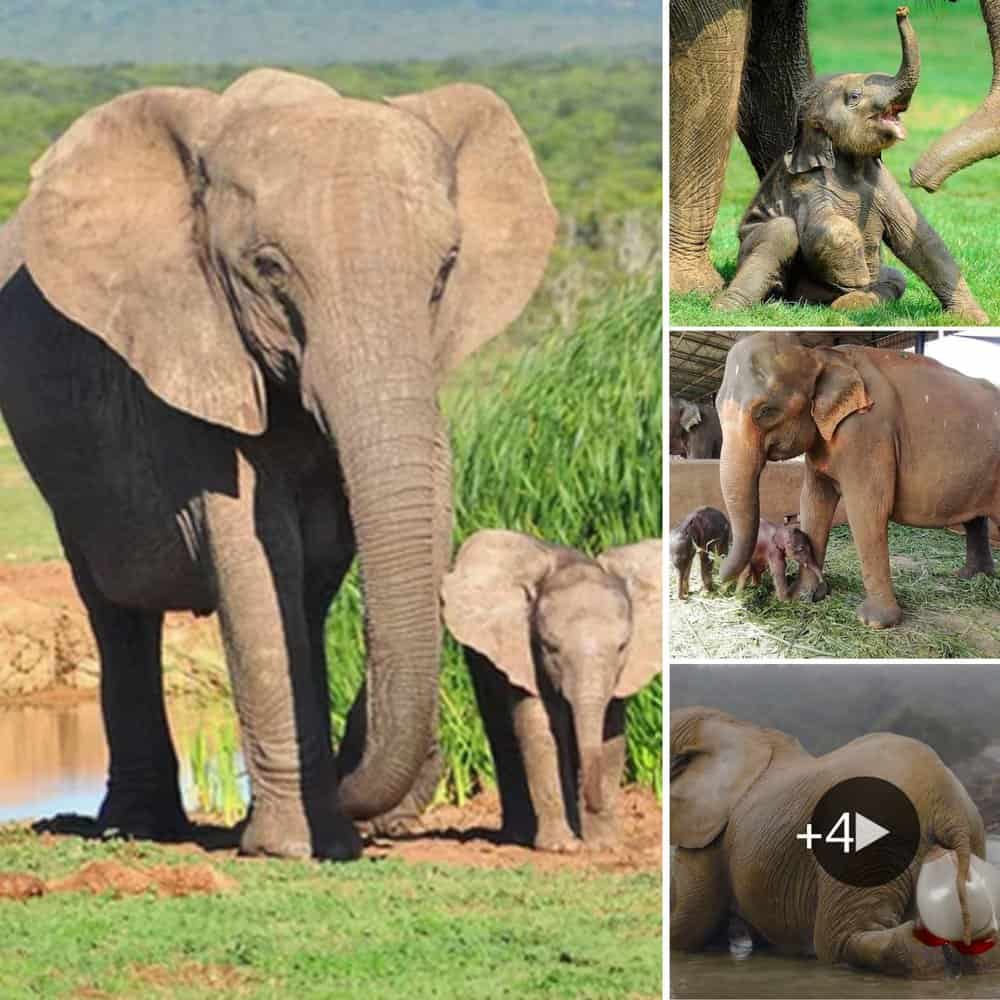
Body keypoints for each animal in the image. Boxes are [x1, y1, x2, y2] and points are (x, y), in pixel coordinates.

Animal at [0, 69, 557, 860]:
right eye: (268, 269)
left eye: (446, 270)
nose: (386, 808)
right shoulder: (190, 353)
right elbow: (254, 565)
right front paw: (290, 847)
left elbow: (315, 564)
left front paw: (324, 834)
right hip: (63, 473)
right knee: (116, 613)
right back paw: (136, 827)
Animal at [440, 530, 661, 852]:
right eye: (549, 647)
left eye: (622, 647)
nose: (594, 805)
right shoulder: (524, 652)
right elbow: (541, 729)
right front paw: (562, 847)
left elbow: (610, 734)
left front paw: (603, 846)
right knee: (499, 728)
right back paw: (520, 836)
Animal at [670, 707, 1000, 978]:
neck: (733, 726)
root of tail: (946, 803)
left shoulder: (711, 834)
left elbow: (690, 927)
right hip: (964, 838)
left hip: (866, 846)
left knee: (837, 939)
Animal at [716, 332, 1000, 628]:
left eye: (766, 411)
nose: (718, 582)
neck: (819, 355)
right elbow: (814, 502)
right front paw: (806, 597)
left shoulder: (866, 432)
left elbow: (867, 509)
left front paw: (873, 622)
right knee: (975, 519)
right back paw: (972, 577)